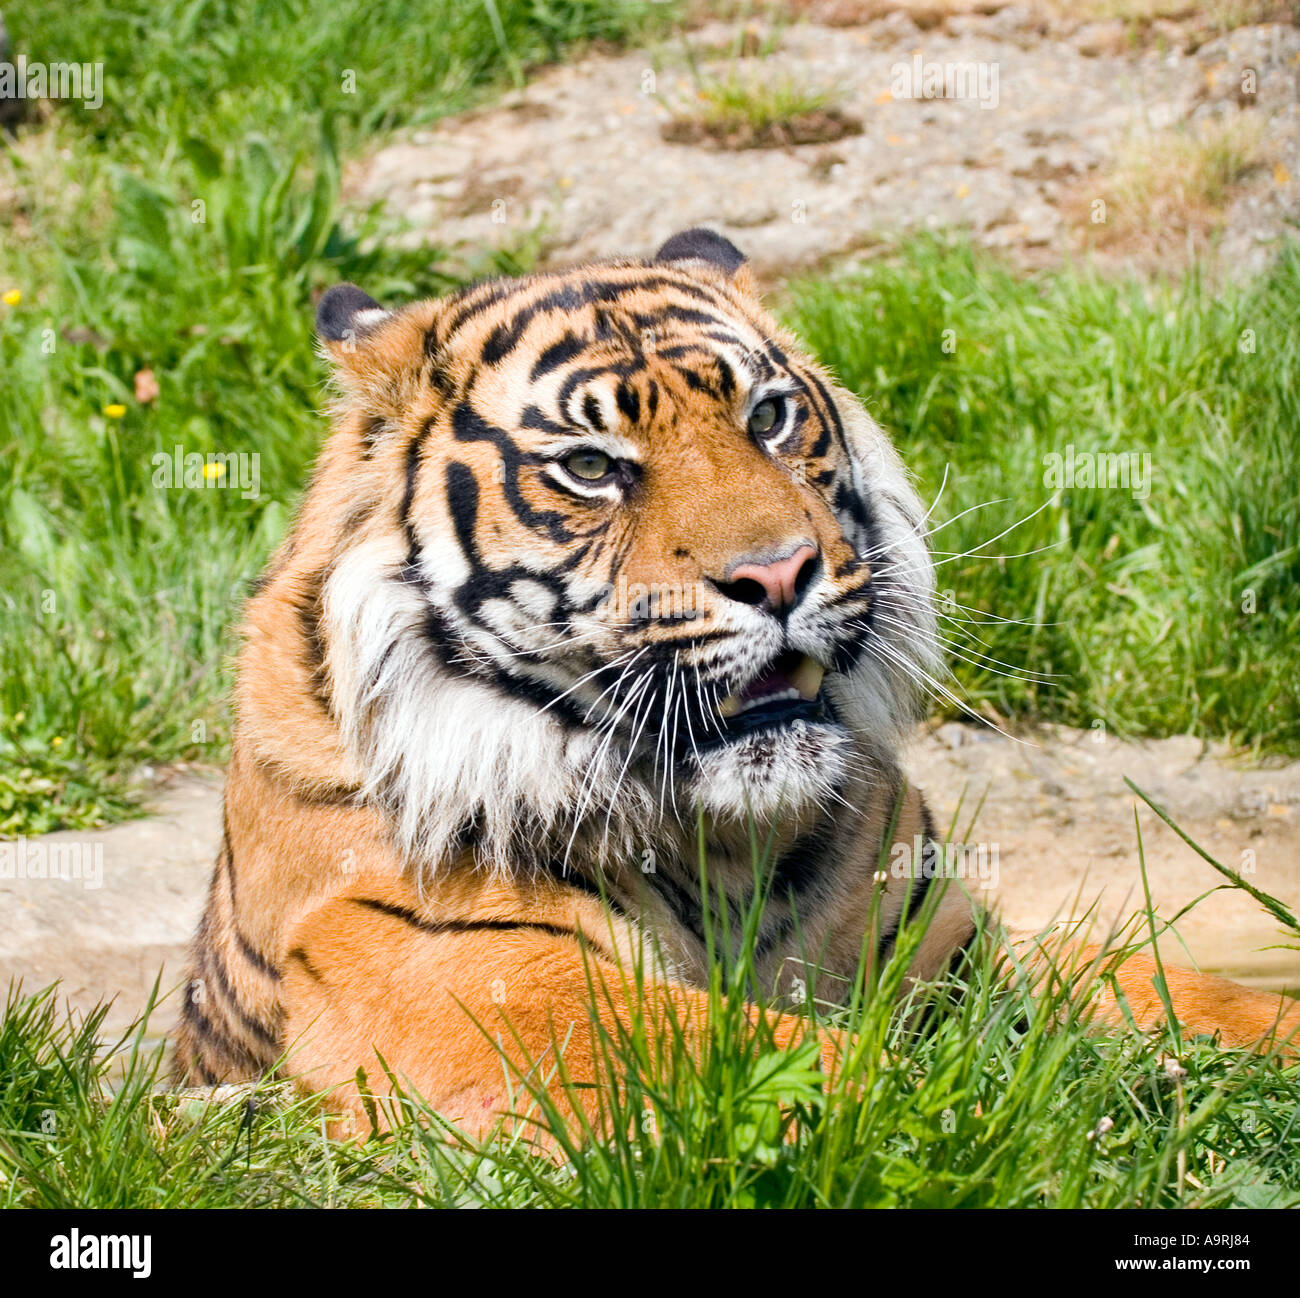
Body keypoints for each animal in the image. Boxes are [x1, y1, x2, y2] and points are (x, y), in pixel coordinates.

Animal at [173, 227, 1299, 1137]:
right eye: (591, 465)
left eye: (768, 417)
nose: (779, 574)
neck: (723, 842)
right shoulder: (470, 970)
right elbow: (810, 1065)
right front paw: (1089, 1103)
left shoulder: (949, 947)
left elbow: (1184, 993)